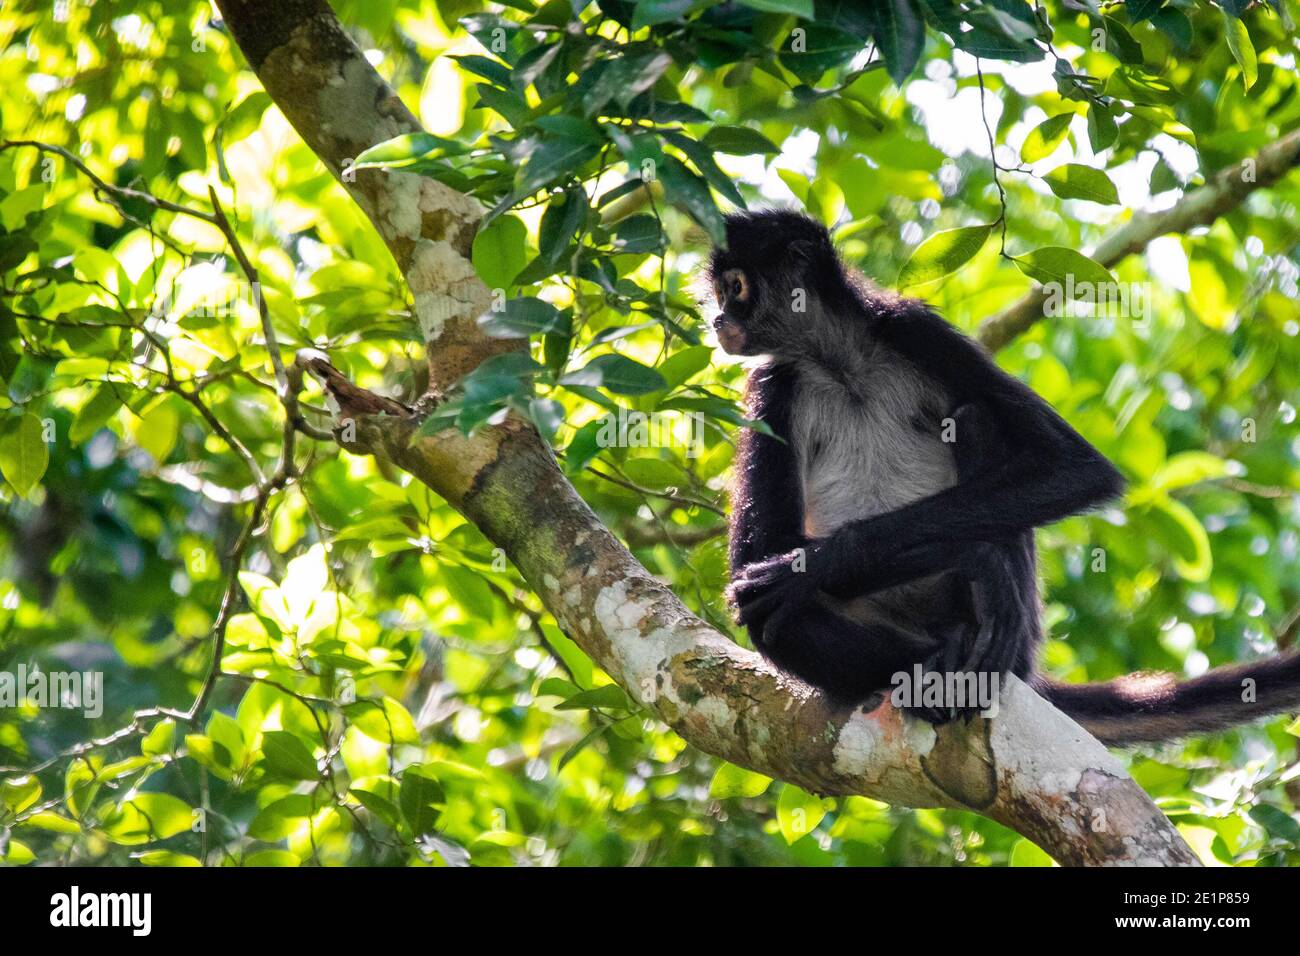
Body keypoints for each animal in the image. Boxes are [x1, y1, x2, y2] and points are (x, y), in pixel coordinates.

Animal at [709, 208, 1300, 745]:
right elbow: (757, 560)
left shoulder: (916, 330)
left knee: (977, 418)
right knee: (773, 616)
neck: (839, 364)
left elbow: (1078, 470)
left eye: (734, 288)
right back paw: (933, 664)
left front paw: (835, 558)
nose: (716, 321)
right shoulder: (772, 383)